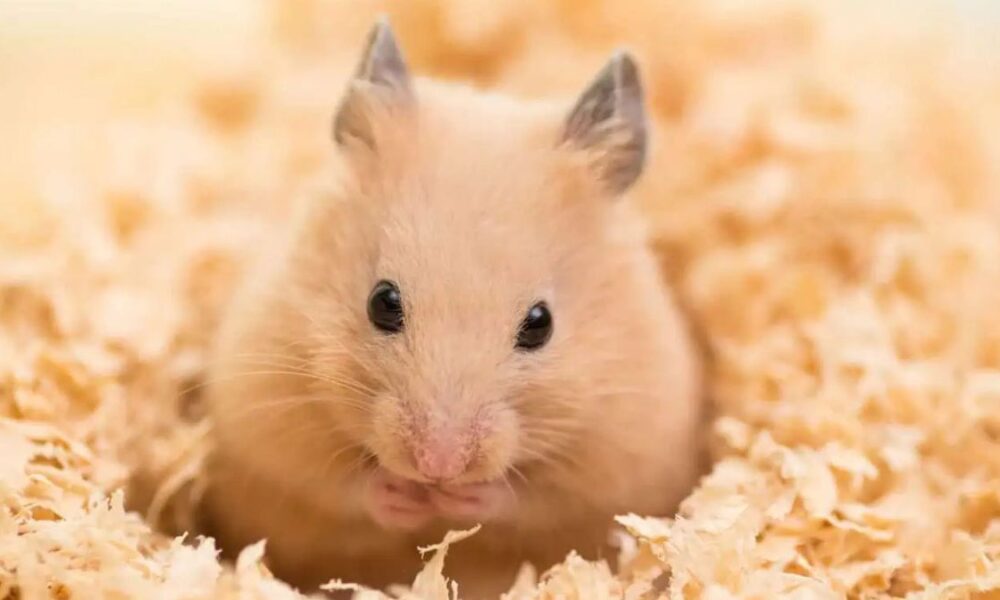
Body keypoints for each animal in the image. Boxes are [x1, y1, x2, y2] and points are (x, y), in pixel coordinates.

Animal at [202, 19, 704, 598]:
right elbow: (335, 482)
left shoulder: (624, 449)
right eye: (382, 302)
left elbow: (533, 500)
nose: (437, 467)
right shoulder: (265, 407)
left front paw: (459, 498)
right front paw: (404, 495)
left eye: (540, 324)